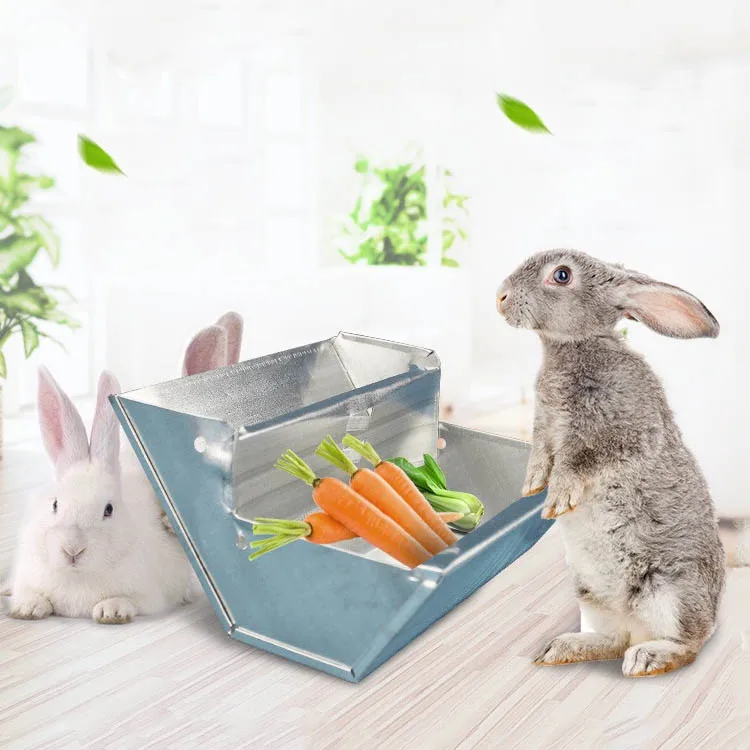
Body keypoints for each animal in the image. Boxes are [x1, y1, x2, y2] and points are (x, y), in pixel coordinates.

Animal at [6, 367, 194, 623]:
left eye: (108, 510)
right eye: (55, 505)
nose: (72, 549)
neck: (78, 577)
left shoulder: (149, 598)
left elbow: (130, 601)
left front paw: (111, 611)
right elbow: (28, 593)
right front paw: (28, 608)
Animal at [496, 249, 725, 677]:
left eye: (562, 275)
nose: (500, 297)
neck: (575, 345)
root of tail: (637, 626)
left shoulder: (617, 432)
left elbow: (579, 461)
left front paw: (556, 499)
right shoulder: (545, 428)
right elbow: (541, 454)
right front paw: (532, 486)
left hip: (672, 589)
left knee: (688, 642)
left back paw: (648, 658)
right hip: (590, 595)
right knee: (612, 639)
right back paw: (563, 649)